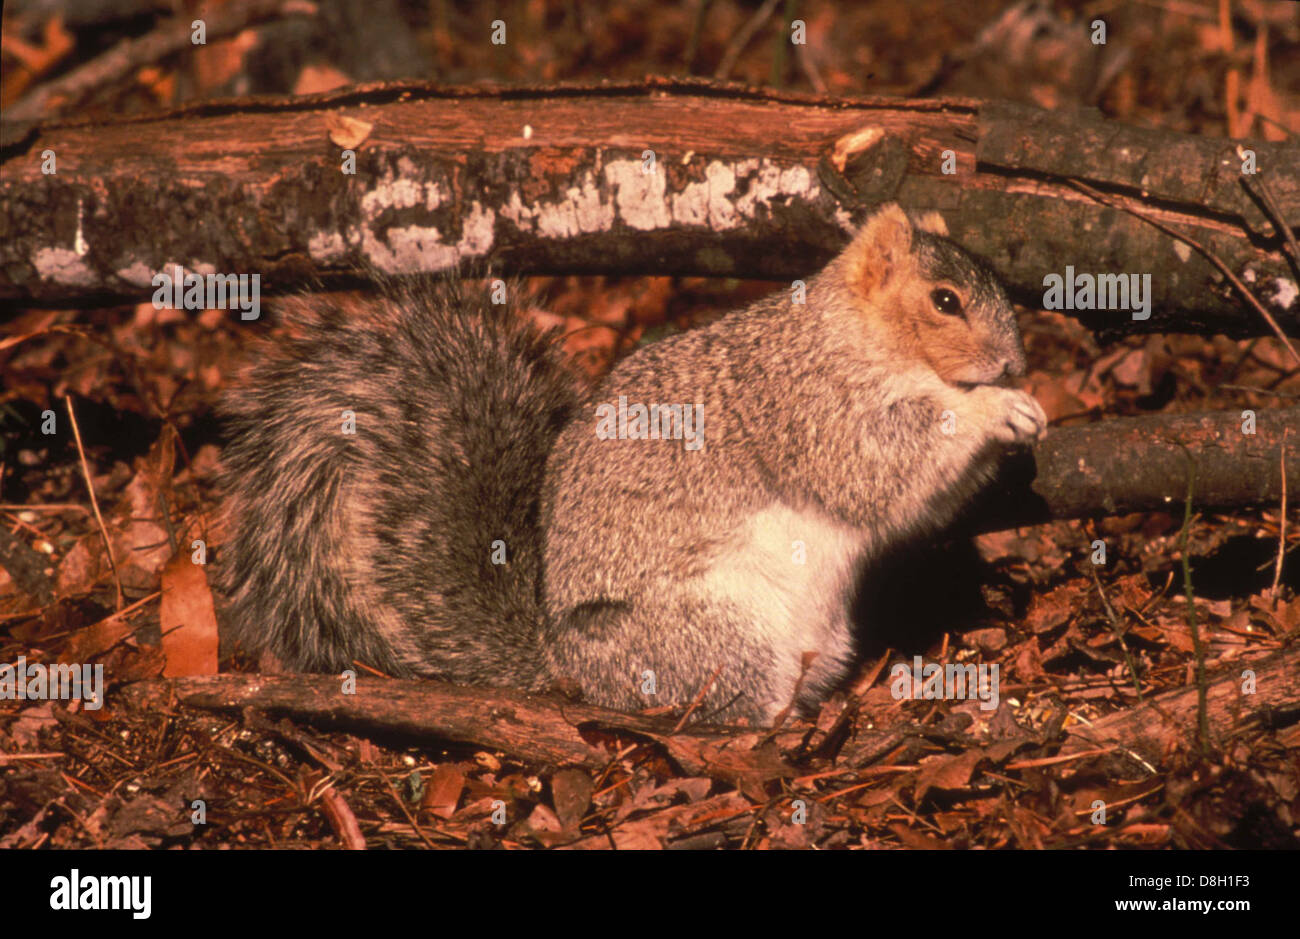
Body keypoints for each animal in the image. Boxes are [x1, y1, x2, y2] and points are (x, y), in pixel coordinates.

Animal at [217, 203, 1047, 724]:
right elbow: (880, 468)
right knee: (731, 703)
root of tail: (565, 665)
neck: (861, 335)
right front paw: (995, 409)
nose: (1013, 359)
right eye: (945, 300)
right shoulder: (807, 406)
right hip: (714, 633)